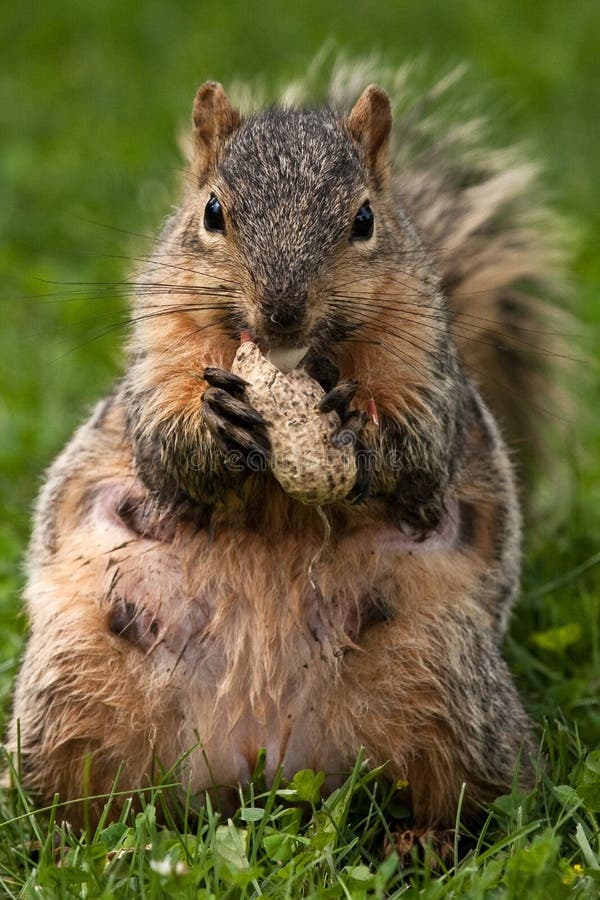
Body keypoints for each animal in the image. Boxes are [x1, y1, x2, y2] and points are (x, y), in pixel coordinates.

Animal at [7, 60, 562, 849]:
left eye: (365, 220)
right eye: (212, 212)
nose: (281, 311)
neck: (299, 364)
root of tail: (256, 753)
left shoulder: (429, 365)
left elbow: (423, 447)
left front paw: (356, 433)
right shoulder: (158, 353)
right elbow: (160, 445)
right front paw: (215, 427)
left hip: (446, 684)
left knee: (472, 799)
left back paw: (427, 842)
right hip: (72, 692)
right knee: (81, 795)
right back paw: (78, 845)